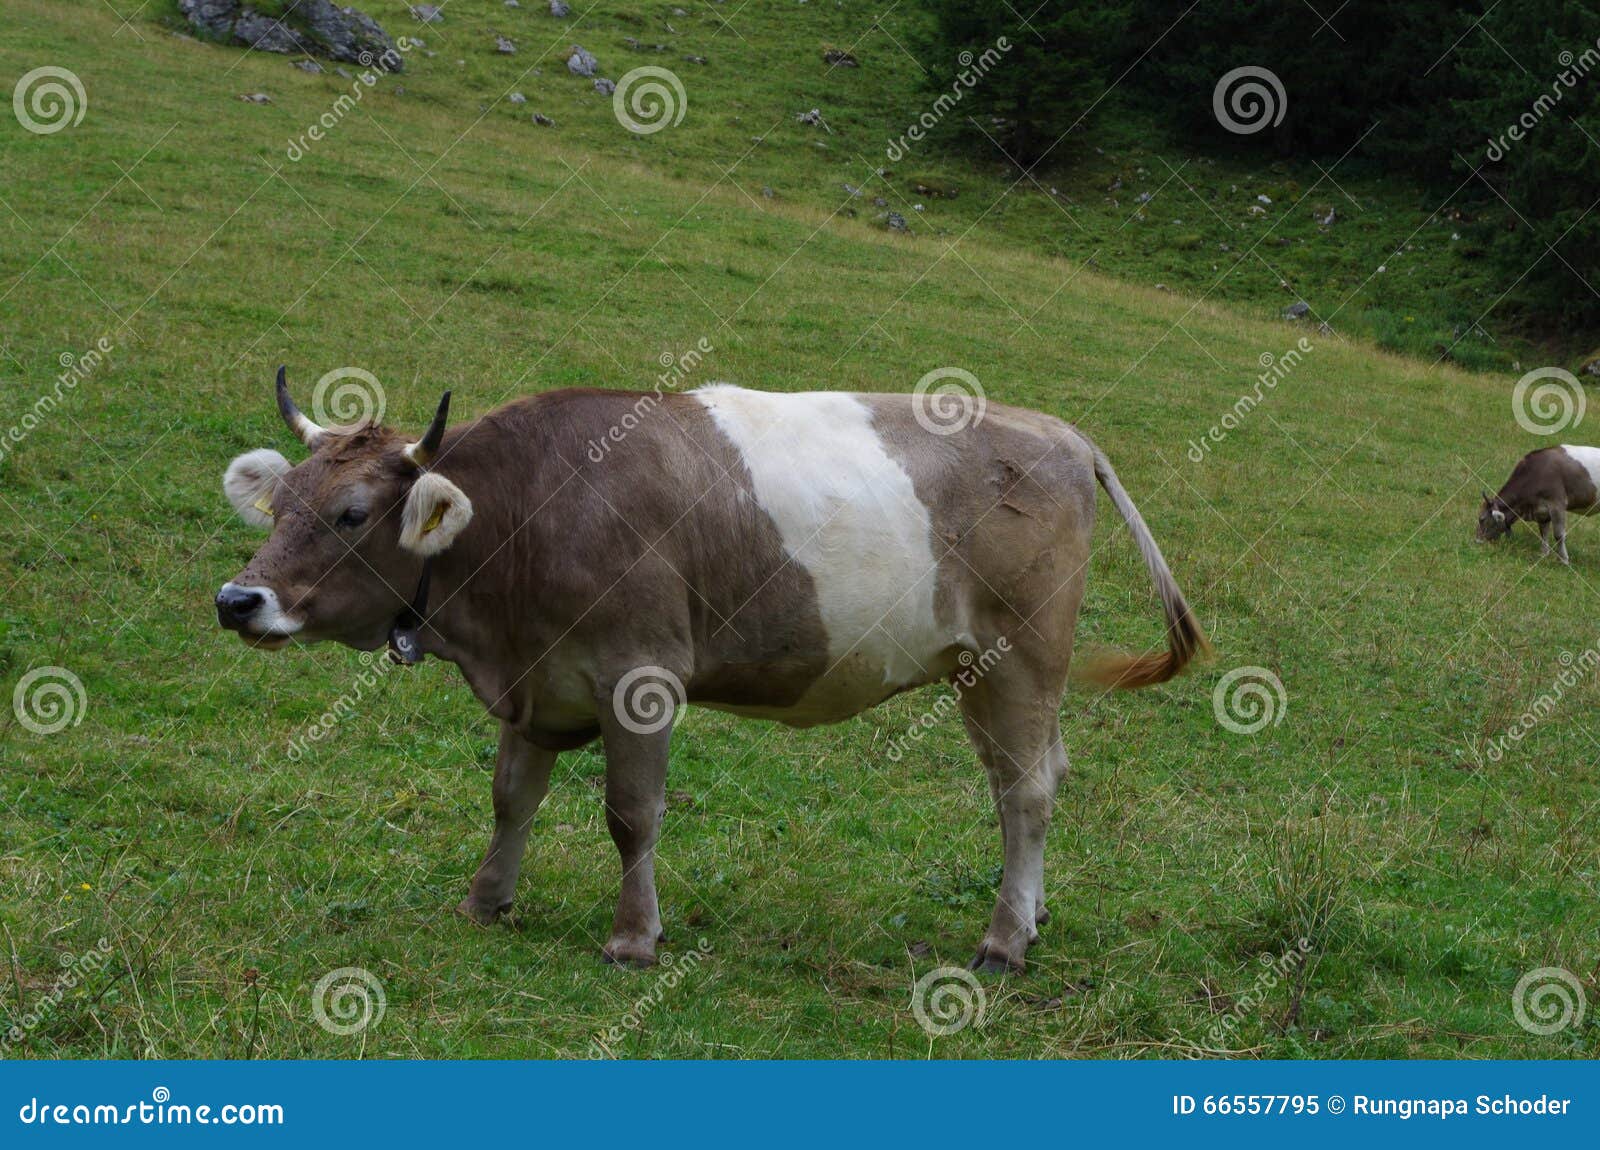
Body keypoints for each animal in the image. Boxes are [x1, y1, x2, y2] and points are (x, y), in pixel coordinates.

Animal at [216, 368, 1208, 973]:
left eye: (350, 514)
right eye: (282, 501)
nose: (237, 600)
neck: (530, 513)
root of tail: (1059, 431)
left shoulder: (639, 677)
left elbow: (630, 815)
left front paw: (633, 939)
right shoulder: (539, 685)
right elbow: (511, 798)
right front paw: (486, 901)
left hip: (1026, 657)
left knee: (1030, 791)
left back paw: (1003, 943)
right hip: (980, 672)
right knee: (1023, 782)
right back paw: (1027, 918)